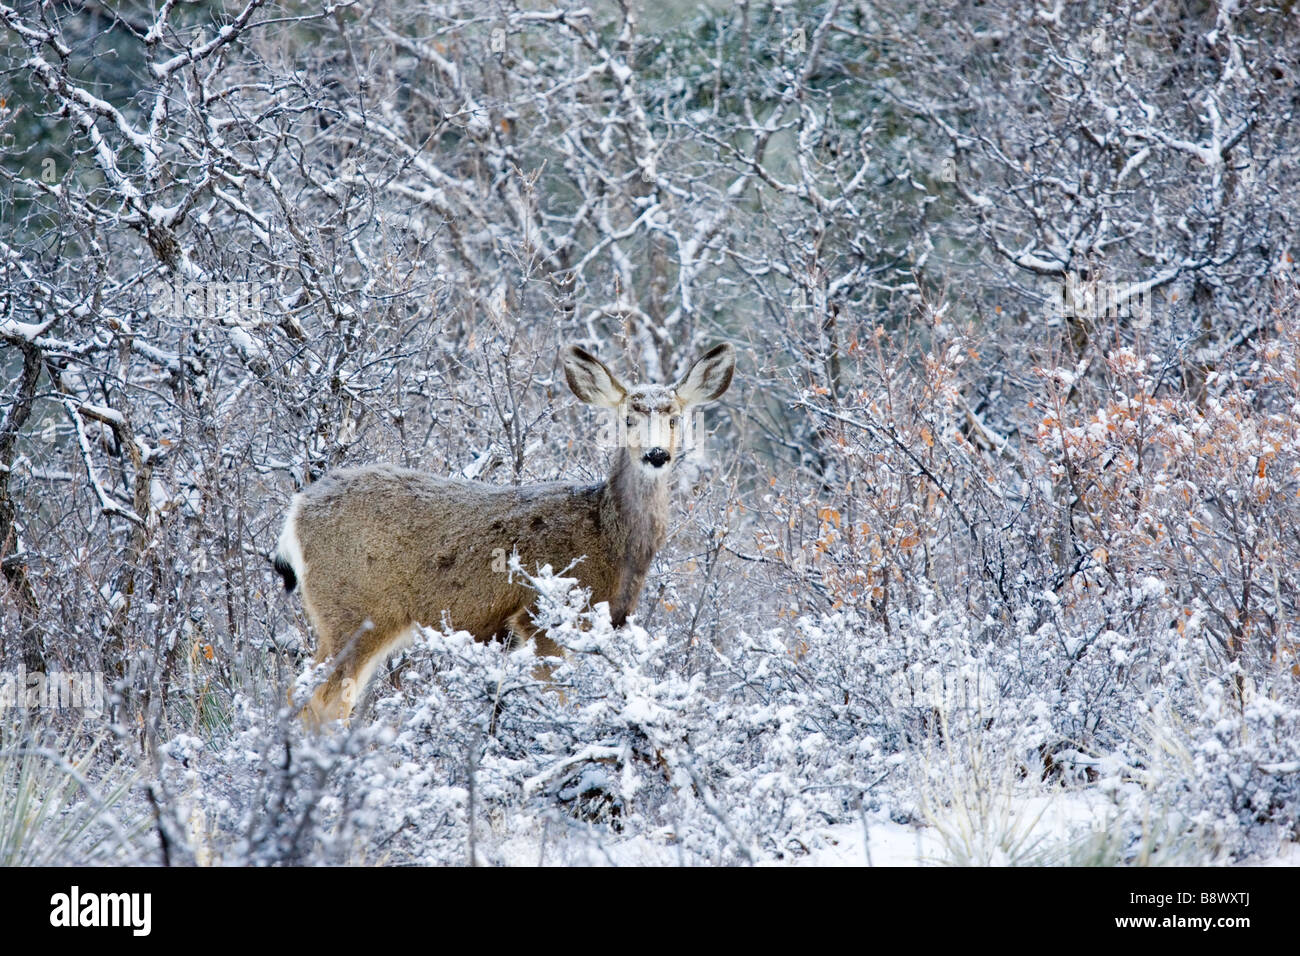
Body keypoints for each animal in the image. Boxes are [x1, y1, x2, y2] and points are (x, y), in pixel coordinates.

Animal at [273, 342, 736, 728]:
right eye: (628, 417)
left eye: (675, 417)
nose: (656, 455)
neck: (609, 541)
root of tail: (296, 512)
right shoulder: (540, 616)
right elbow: (558, 701)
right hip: (352, 610)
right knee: (319, 698)